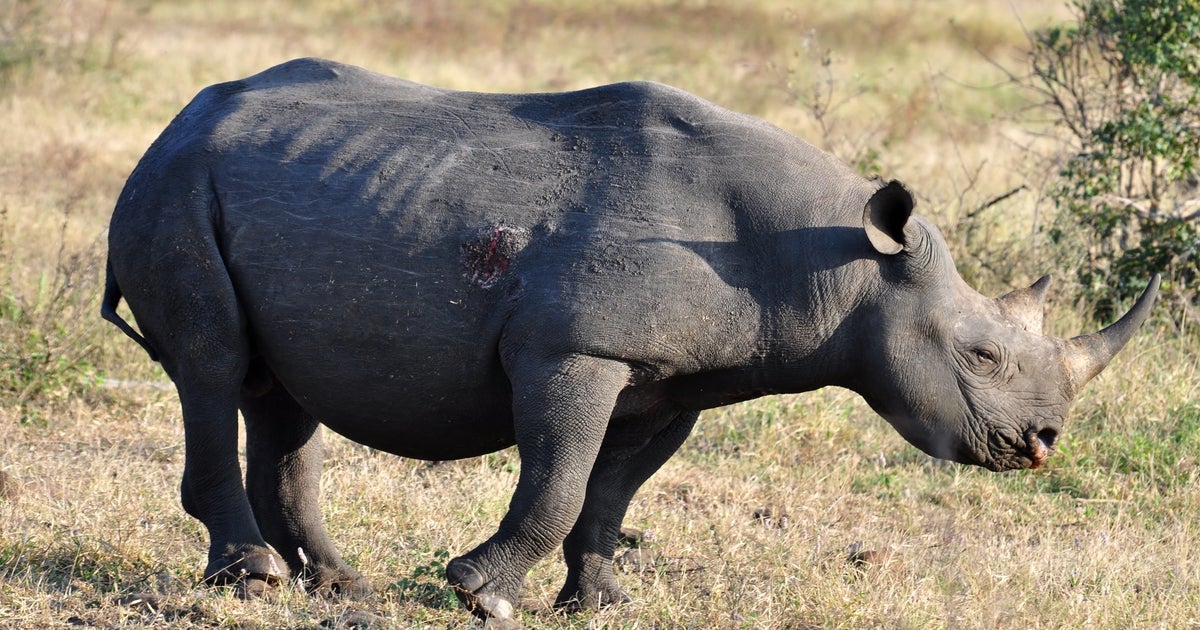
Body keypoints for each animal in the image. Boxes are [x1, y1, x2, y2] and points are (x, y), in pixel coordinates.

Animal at [102, 58, 1157, 626]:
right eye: (980, 357)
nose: (1041, 446)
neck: (840, 262)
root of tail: (175, 120)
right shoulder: (577, 351)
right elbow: (559, 481)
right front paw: (482, 595)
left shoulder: (672, 379)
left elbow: (611, 493)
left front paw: (601, 603)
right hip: (172, 190)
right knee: (212, 365)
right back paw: (254, 580)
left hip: (244, 185)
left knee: (278, 392)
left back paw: (331, 581)